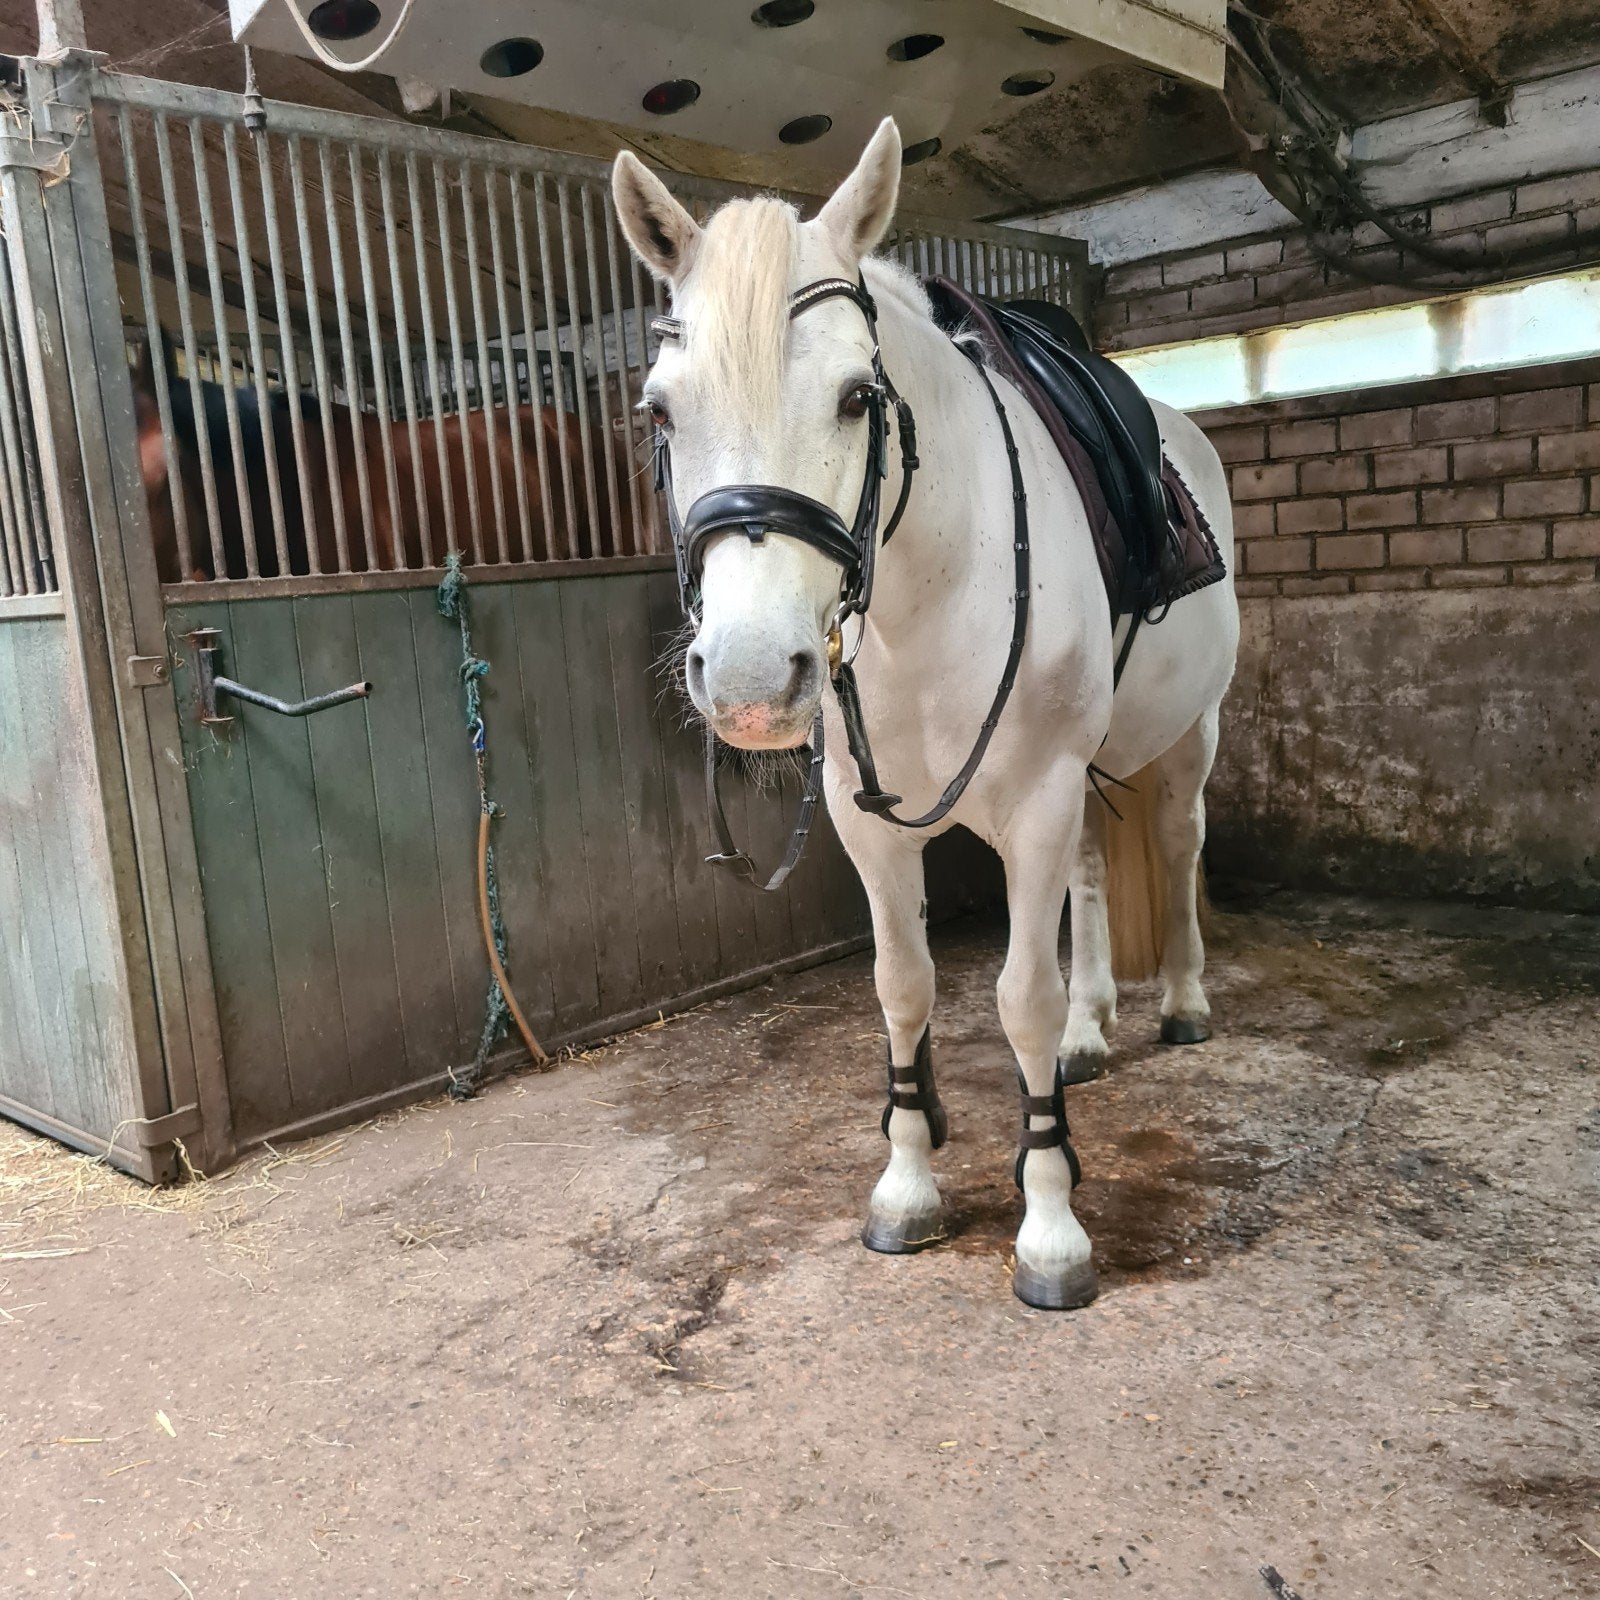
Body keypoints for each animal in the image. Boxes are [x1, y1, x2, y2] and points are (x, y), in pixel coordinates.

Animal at [611, 120, 1240, 1310]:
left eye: (858, 397)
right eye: (661, 411)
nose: (751, 678)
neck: (931, 587)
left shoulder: (1036, 796)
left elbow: (1020, 994)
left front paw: (1051, 1228)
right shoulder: (868, 823)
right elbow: (902, 987)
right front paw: (907, 1182)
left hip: (1188, 738)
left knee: (1181, 847)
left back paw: (1181, 1001)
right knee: (1094, 876)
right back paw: (1093, 1029)